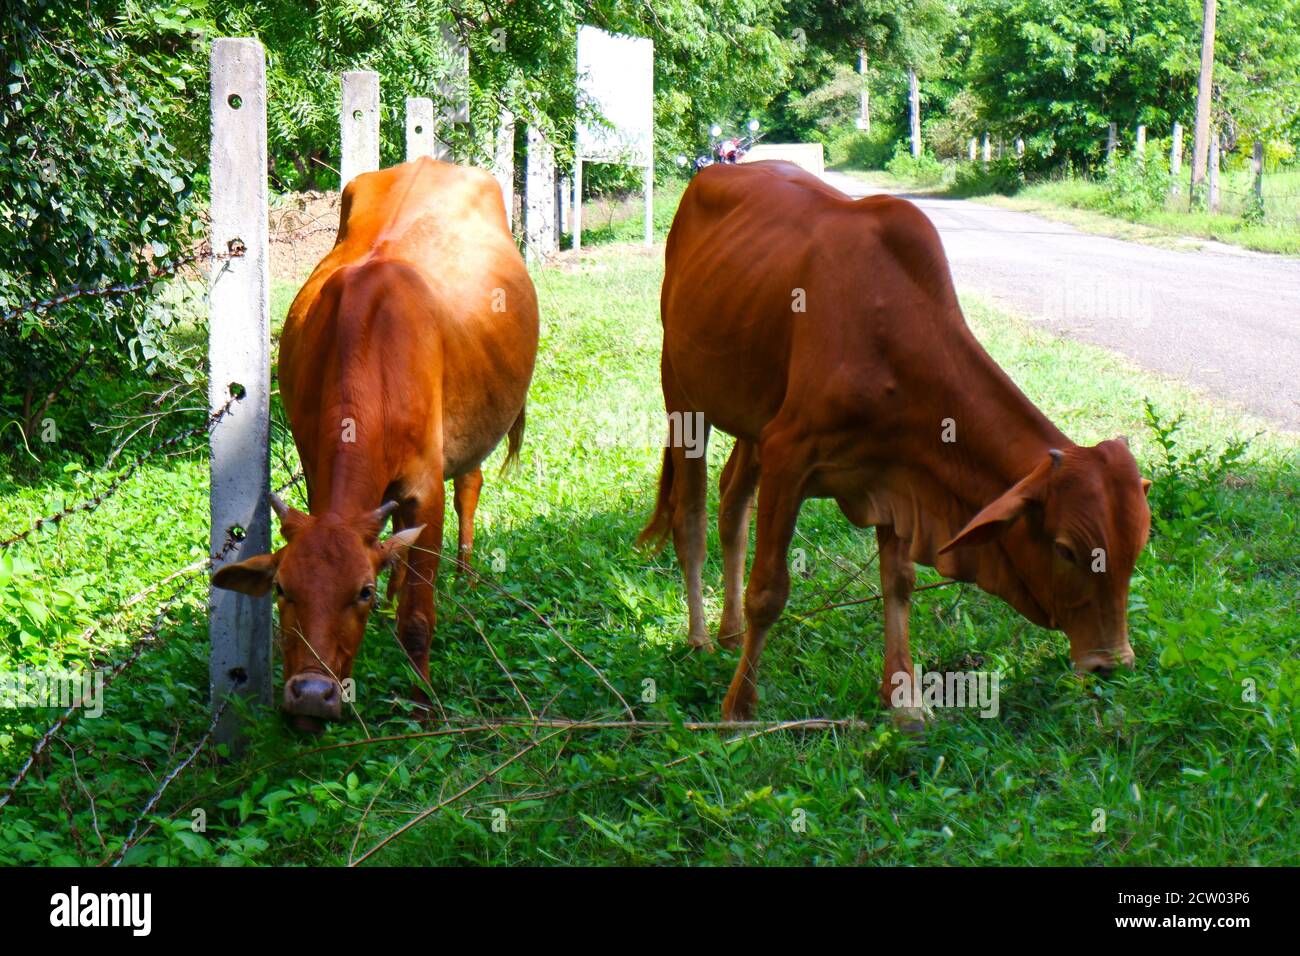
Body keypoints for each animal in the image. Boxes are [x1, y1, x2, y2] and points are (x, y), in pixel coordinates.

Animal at [213, 158, 538, 730]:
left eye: (358, 592)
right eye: (281, 589)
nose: (311, 694)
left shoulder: (425, 489)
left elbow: (418, 616)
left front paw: (422, 702)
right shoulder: (317, 470)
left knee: (469, 486)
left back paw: (466, 577)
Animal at [639, 160, 1151, 726]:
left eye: (1137, 549)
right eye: (1065, 549)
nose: (1110, 665)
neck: (890, 335)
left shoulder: (898, 473)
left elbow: (899, 580)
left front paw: (904, 703)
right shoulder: (788, 455)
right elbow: (769, 590)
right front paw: (738, 708)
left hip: (752, 417)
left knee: (733, 504)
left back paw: (729, 635)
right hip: (682, 396)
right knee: (690, 516)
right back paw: (701, 640)